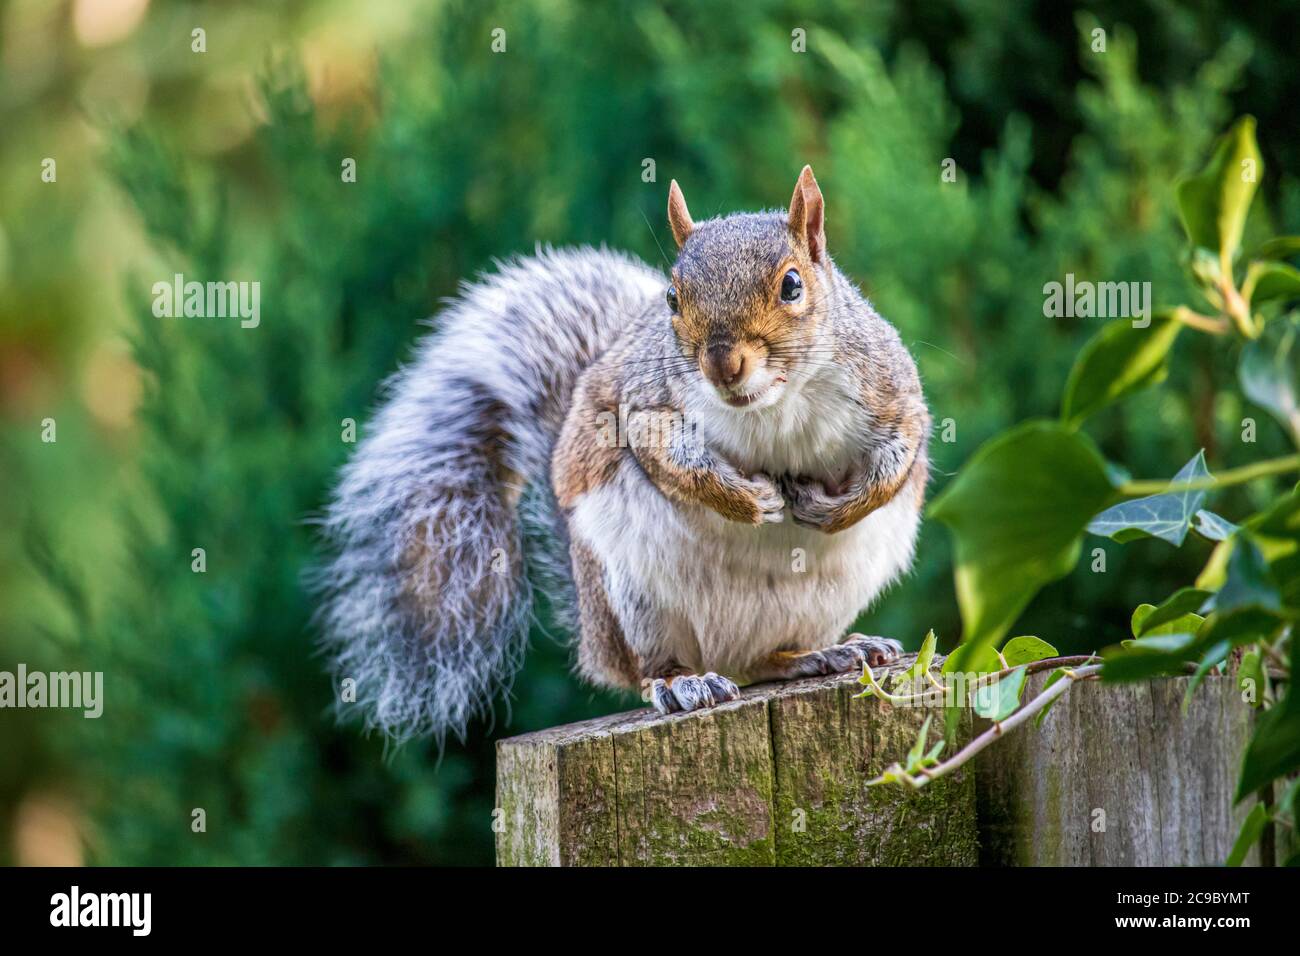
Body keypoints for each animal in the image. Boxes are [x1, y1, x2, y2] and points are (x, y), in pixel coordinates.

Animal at [317, 166, 930, 743]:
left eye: (793, 285)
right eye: (672, 298)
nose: (722, 364)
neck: (772, 406)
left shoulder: (890, 387)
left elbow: (901, 454)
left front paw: (837, 509)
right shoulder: (638, 402)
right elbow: (667, 456)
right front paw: (745, 499)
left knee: (765, 660)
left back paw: (821, 653)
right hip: (630, 595)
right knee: (652, 667)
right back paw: (682, 682)